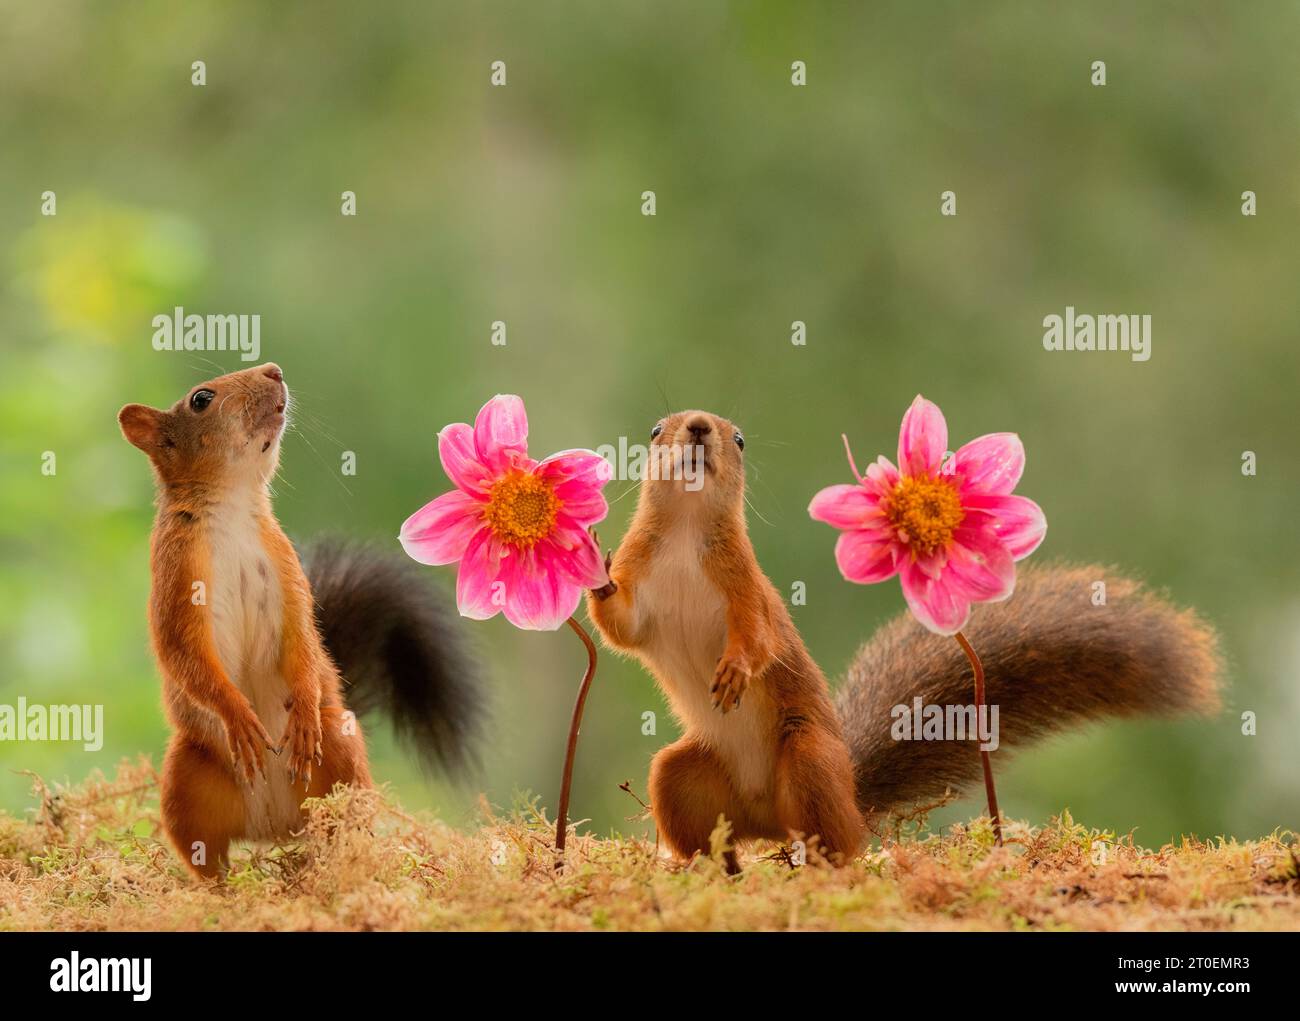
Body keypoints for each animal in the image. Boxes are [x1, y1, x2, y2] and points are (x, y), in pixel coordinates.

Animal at [118, 362, 482, 878]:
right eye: (201, 399)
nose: (273, 370)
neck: (233, 508)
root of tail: (273, 826)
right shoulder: (176, 578)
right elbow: (185, 654)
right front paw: (239, 716)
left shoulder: (288, 573)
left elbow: (305, 643)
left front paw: (304, 710)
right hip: (186, 778)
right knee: (206, 853)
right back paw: (221, 886)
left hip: (342, 753)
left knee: (340, 823)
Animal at [587, 410, 1222, 872]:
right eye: (656, 429)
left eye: (739, 438)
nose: (697, 426)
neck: (687, 528)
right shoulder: (646, 590)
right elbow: (622, 629)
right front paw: (597, 568)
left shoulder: (748, 590)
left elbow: (759, 638)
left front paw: (738, 668)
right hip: (683, 778)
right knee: (711, 834)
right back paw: (711, 871)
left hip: (808, 757)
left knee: (841, 841)